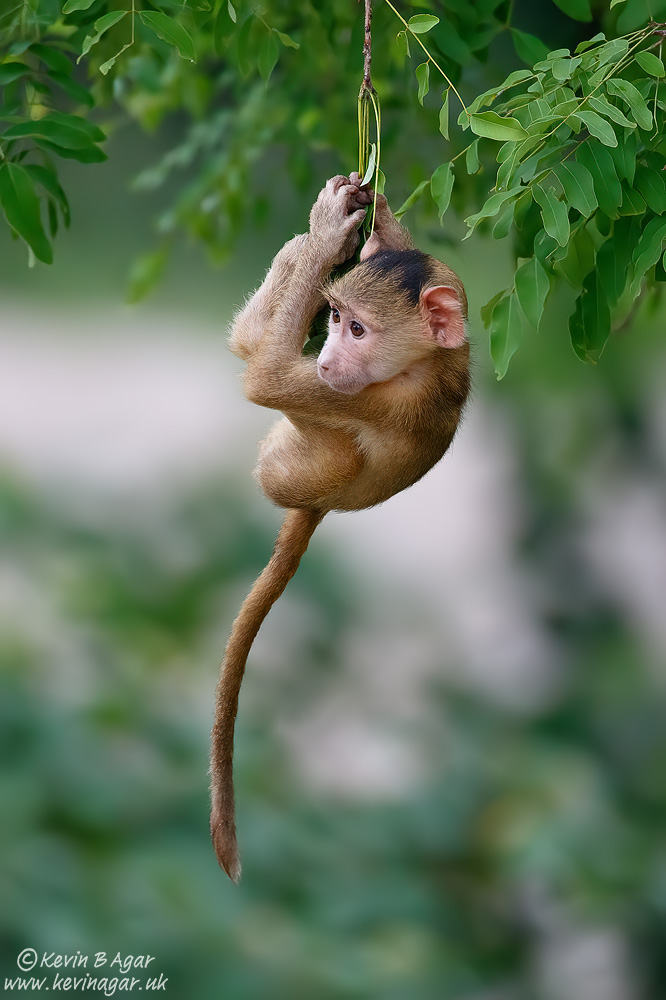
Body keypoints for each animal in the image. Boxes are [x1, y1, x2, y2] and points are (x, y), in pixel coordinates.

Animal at [211, 172, 470, 882]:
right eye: (334, 320)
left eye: (358, 328)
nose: (327, 359)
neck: (430, 361)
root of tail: (320, 506)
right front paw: (370, 218)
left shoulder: (382, 396)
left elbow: (263, 376)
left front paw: (331, 234)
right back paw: (305, 251)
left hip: (294, 464)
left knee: (261, 363)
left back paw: (310, 248)